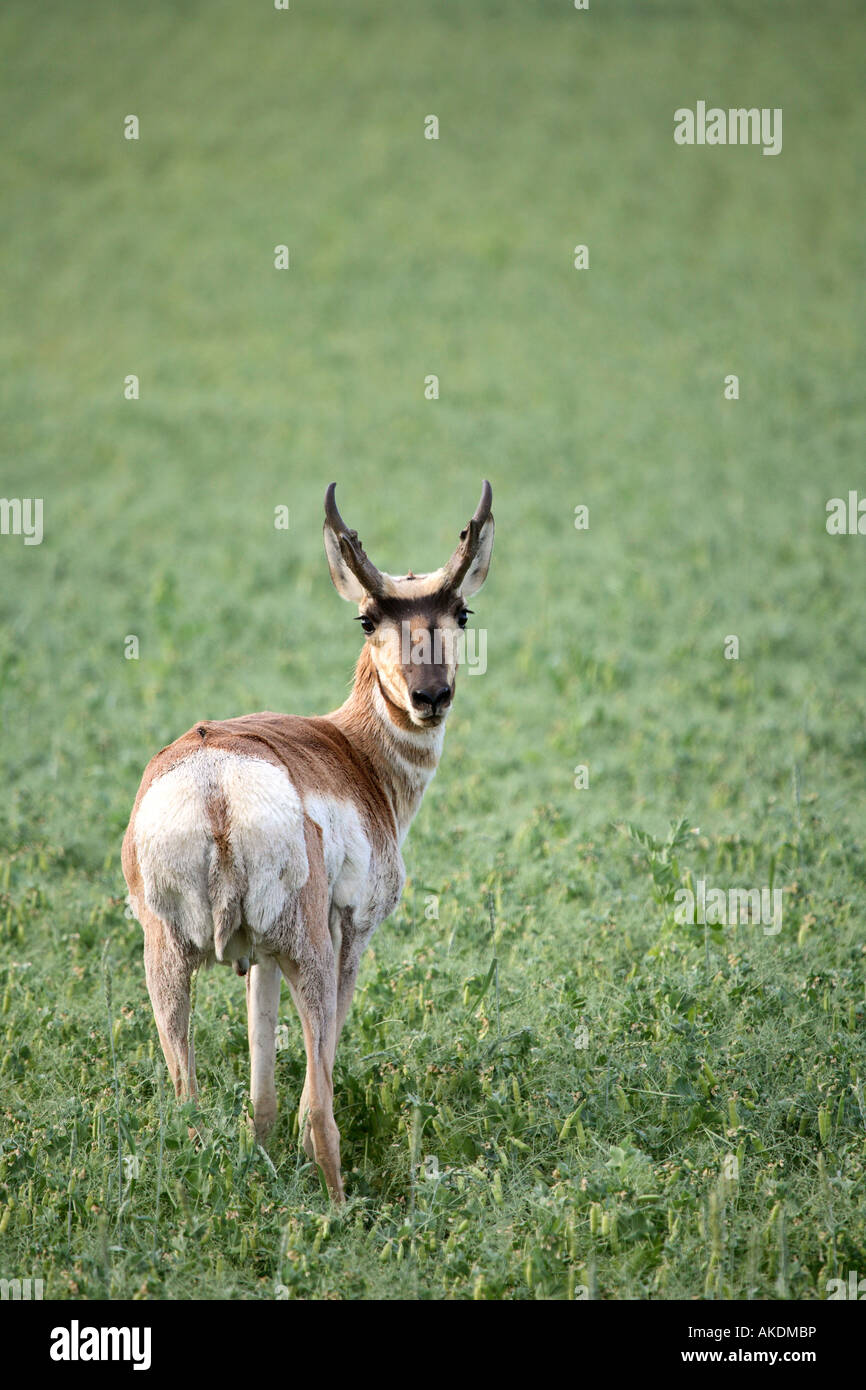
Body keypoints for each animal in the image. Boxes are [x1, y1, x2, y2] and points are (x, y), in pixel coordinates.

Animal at [121, 481, 494, 1201]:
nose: (430, 696)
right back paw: (341, 1206)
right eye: (368, 619)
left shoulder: (259, 959)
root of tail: (216, 778)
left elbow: (261, 1084)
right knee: (322, 1107)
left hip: (169, 963)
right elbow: (320, 1062)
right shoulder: (352, 933)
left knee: (185, 1098)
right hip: (309, 953)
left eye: (460, 612)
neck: (352, 751)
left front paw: (263, 1149)